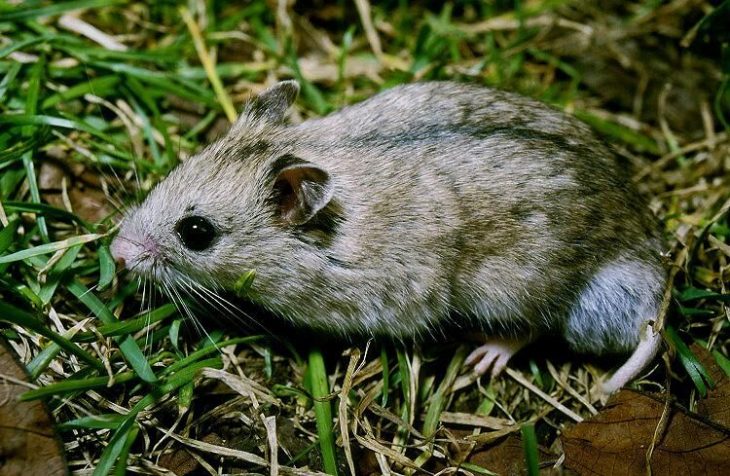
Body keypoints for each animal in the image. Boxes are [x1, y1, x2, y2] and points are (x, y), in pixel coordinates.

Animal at [111, 81, 666, 394]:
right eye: (176, 168)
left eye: (196, 232)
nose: (116, 252)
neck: (312, 238)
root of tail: (641, 247)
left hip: (513, 286)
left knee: (530, 328)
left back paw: (483, 356)